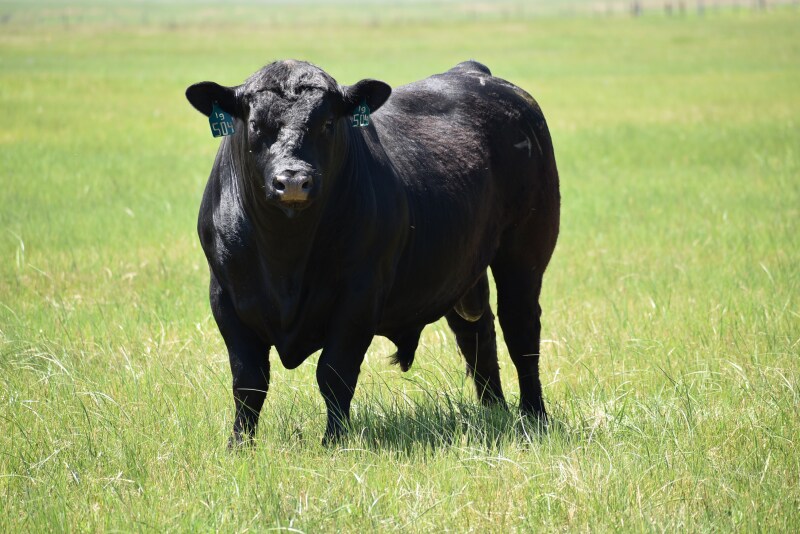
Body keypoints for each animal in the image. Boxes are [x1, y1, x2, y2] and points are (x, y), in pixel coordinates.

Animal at [186, 60, 560, 446]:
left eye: (328, 123)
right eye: (256, 124)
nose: (292, 181)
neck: (285, 257)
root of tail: (473, 71)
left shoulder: (359, 297)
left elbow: (334, 373)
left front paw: (334, 440)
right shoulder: (225, 297)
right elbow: (248, 381)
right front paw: (240, 444)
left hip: (525, 250)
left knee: (521, 329)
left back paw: (533, 415)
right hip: (465, 267)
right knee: (477, 332)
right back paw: (493, 409)